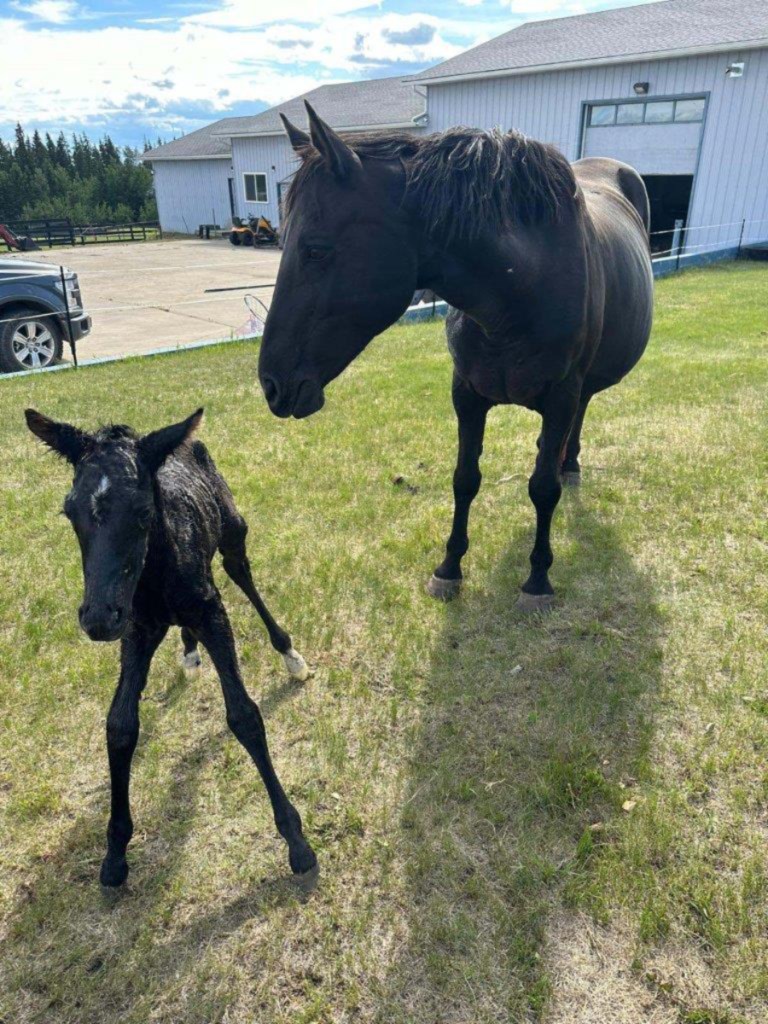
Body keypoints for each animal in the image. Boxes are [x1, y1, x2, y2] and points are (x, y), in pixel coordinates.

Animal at [25, 407, 317, 887]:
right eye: (69, 512)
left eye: (143, 511)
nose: (98, 619)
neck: (155, 576)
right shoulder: (135, 630)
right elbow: (120, 726)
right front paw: (115, 852)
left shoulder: (212, 613)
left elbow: (244, 715)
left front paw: (296, 841)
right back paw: (189, 652)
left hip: (232, 532)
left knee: (242, 573)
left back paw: (290, 656)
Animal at [258, 104, 653, 608]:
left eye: (315, 250)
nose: (272, 385)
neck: (520, 288)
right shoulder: (466, 394)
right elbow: (465, 479)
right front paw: (448, 568)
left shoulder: (560, 395)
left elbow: (542, 489)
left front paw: (537, 579)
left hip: (577, 390)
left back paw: (569, 465)